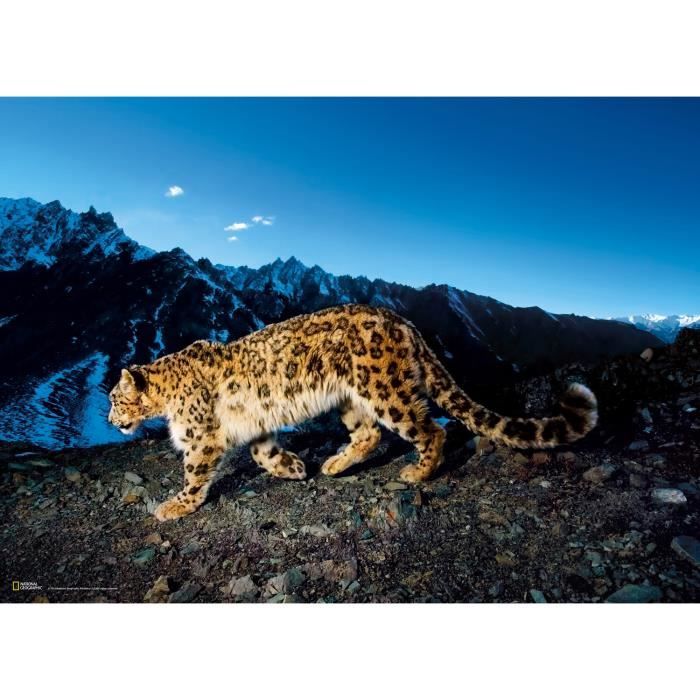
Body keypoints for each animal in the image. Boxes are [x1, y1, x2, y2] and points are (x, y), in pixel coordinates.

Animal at [108, 304, 598, 521]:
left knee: (428, 429)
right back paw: (333, 464)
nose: (111, 420)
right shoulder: (257, 426)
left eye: (114, 398)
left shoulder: (200, 437)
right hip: (350, 399)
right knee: (369, 434)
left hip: (385, 390)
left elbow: (194, 473)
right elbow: (263, 453)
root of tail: (404, 322)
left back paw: (417, 473)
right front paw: (293, 467)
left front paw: (175, 505)